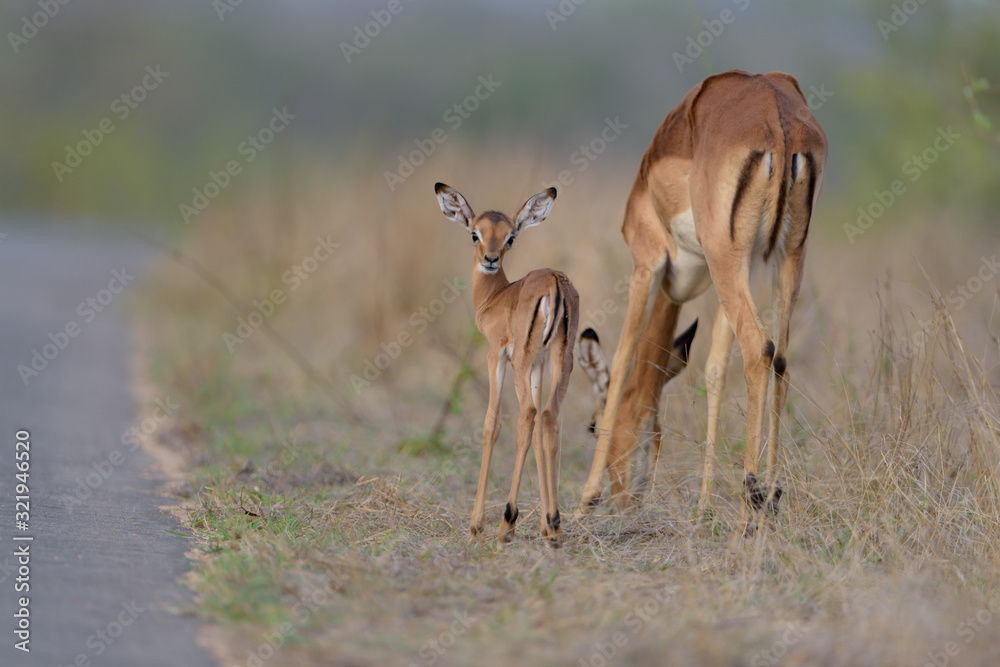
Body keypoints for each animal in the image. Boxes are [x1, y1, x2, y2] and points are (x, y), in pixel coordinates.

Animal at [434, 183, 579, 547]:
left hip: (521, 364)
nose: (490, 259)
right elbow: (541, 433)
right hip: (562, 360)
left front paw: (475, 524)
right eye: (476, 233)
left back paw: (507, 522)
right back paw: (555, 526)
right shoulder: (539, 365)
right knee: (548, 417)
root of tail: (554, 282)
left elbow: (491, 424)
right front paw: (545, 524)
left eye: (510, 237)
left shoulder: (496, 354)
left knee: (527, 416)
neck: (496, 298)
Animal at [575, 70, 827, 532]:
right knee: (780, 359)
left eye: (593, 426)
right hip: (783, 258)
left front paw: (586, 499)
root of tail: (776, 112)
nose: (629, 502)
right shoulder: (731, 268)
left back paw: (751, 509)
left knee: (759, 351)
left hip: (729, 258)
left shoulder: (647, 264)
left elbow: (622, 358)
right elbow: (714, 371)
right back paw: (772, 499)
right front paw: (704, 505)